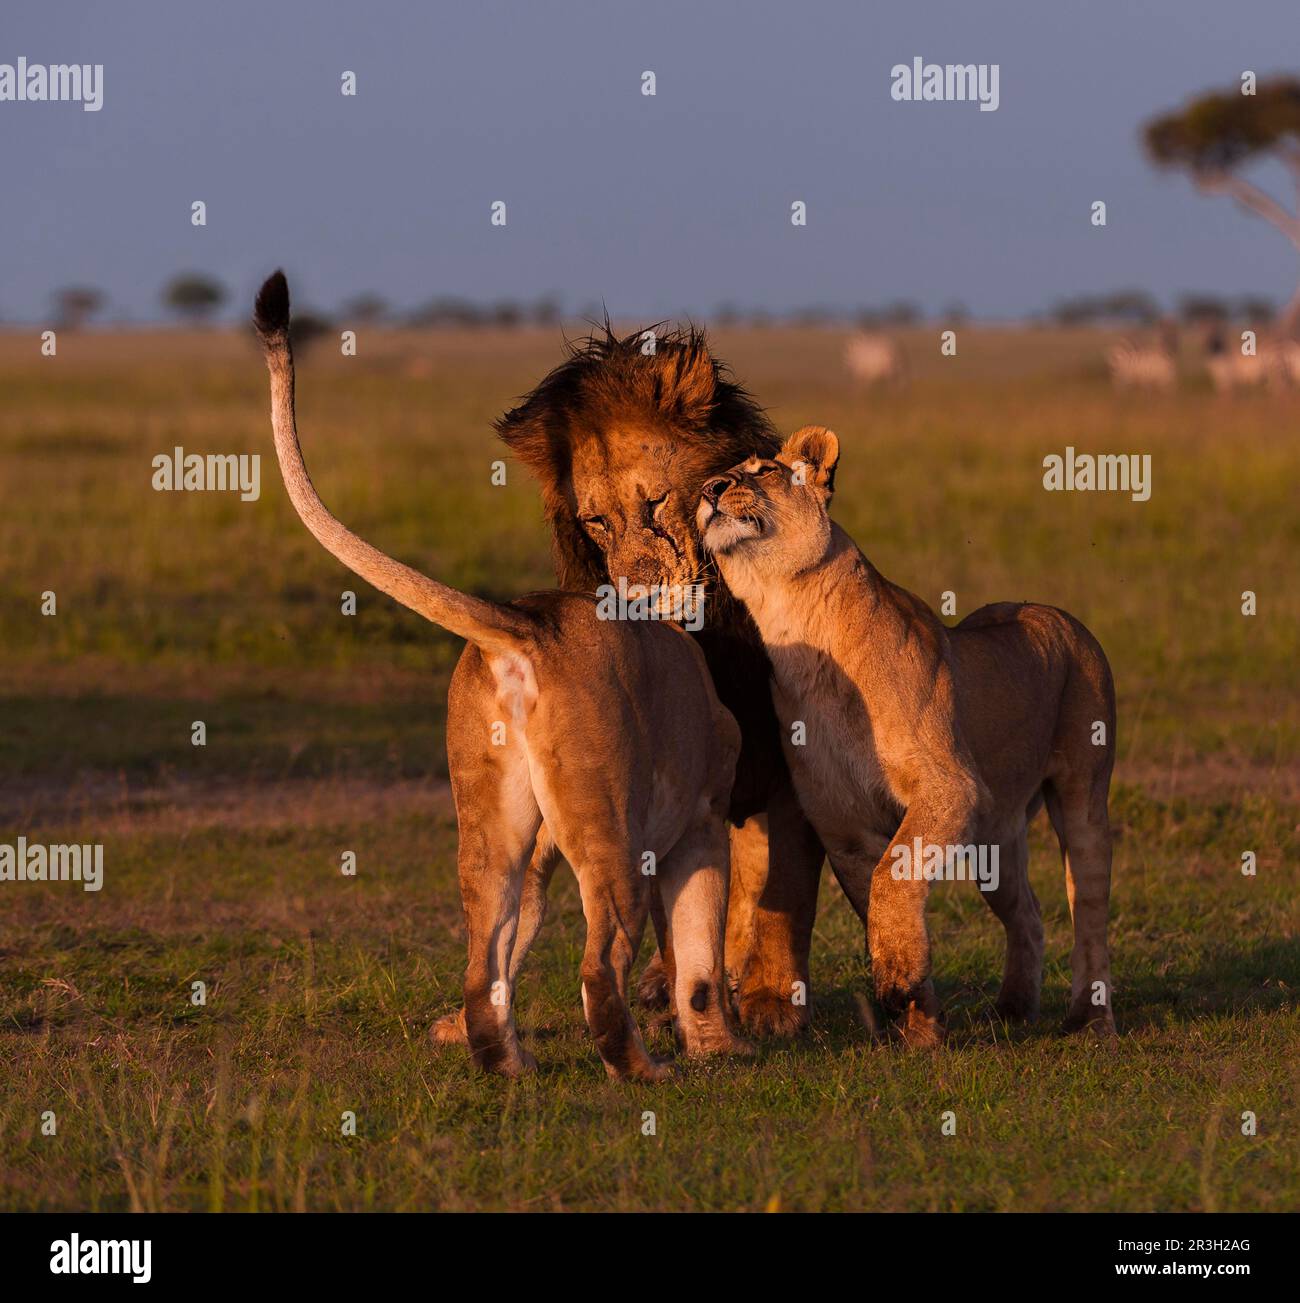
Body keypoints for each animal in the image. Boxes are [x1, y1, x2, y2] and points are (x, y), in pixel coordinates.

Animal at [253, 271, 752, 1079]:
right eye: (601, 520)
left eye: (654, 504)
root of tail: (526, 628)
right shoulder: (702, 821)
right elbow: (699, 958)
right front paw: (720, 1047)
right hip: (612, 827)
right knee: (600, 963)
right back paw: (640, 1069)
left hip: (488, 828)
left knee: (481, 957)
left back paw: (506, 1063)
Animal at [494, 323, 826, 1035]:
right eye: (595, 522)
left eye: (656, 501)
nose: (637, 602)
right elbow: (681, 911)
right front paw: (685, 995)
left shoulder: (792, 763)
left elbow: (784, 886)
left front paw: (770, 1001)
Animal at [698, 426, 1117, 1045]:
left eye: (764, 470)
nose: (708, 488)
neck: (790, 616)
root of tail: (1060, 615)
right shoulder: (842, 819)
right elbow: (877, 890)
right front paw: (920, 1025)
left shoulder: (949, 787)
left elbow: (892, 880)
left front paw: (901, 988)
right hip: (995, 835)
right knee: (1029, 913)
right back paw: (1012, 1009)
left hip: (1082, 796)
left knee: (1087, 909)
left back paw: (1090, 1019)